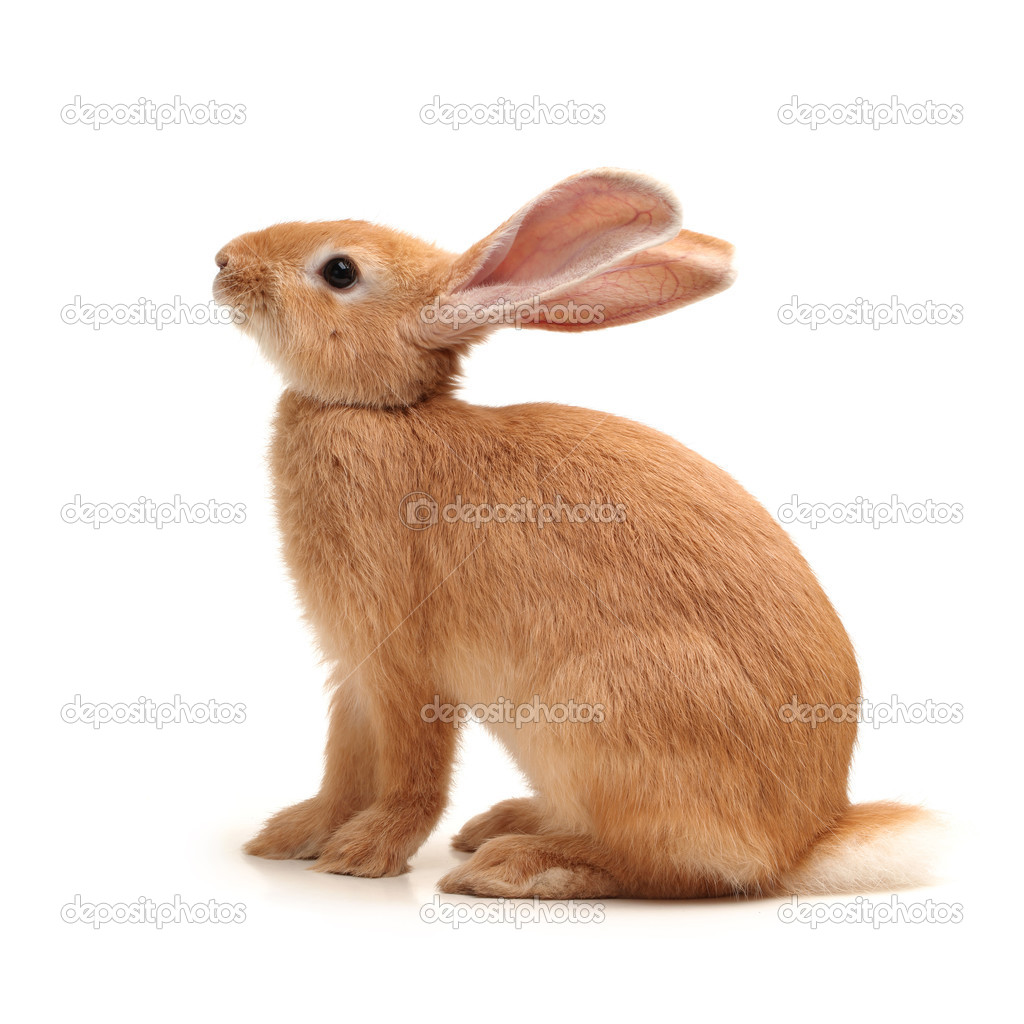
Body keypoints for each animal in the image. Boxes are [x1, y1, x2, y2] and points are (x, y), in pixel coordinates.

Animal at [214, 168, 943, 899]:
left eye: (339, 271)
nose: (223, 261)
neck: (381, 412)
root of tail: (805, 842)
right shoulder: (353, 671)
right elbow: (344, 766)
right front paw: (291, 837)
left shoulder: (404, 663)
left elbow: (411, 773)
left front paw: (362, 854)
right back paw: (506, 824)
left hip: (599, 719)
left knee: (669, 864)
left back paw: (521, 863)